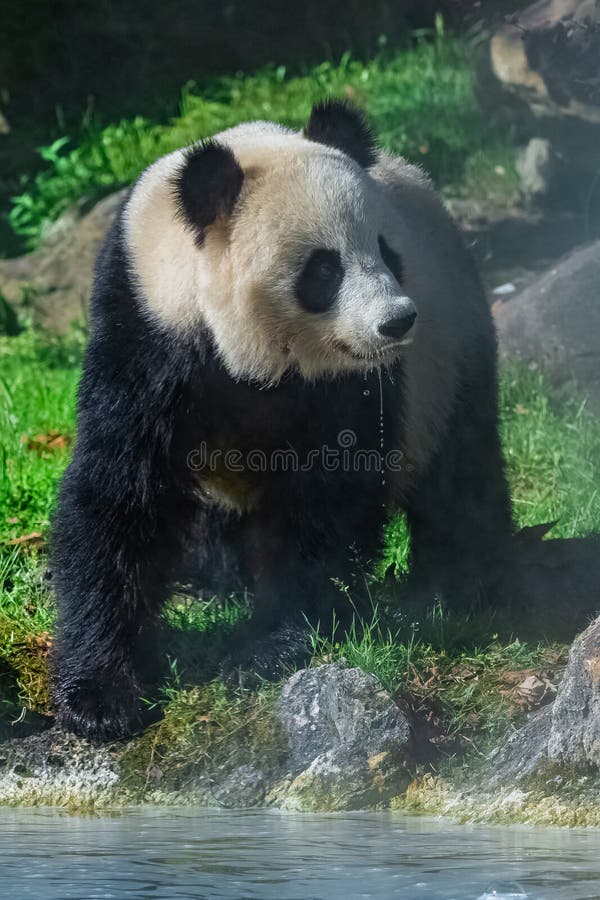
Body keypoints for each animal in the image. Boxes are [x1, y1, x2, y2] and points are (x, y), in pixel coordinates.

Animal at [52, 100, 513, 742]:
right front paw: (100, 697)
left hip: (451, 352)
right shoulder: (145, 327)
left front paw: (266, 649)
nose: (397, 322)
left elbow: (327, 499)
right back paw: (216, 578)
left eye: (388, 251)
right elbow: (122, 493)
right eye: (324, 269)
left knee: (460, 471)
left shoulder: (355, 381)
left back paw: (465, 583)